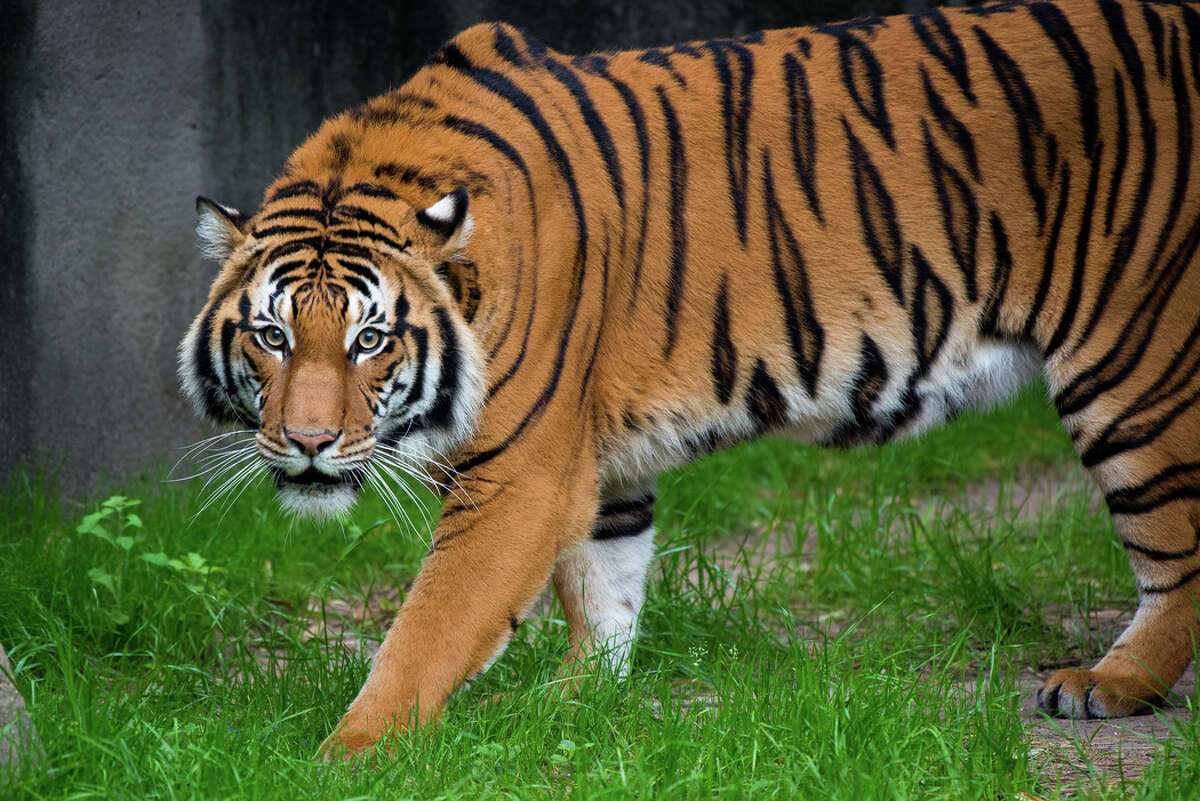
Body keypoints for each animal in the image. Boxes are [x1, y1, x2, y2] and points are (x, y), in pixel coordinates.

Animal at [180, 0, 1200, 755]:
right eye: (272, 336)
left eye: (370, 341)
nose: (308, 443)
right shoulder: (598, 464)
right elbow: (607, 586)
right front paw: (577, 702)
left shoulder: (519, 474)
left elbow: (430, 627)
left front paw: (345, 754)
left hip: (1135, 358)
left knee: (1176, 549)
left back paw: (1110, 683)